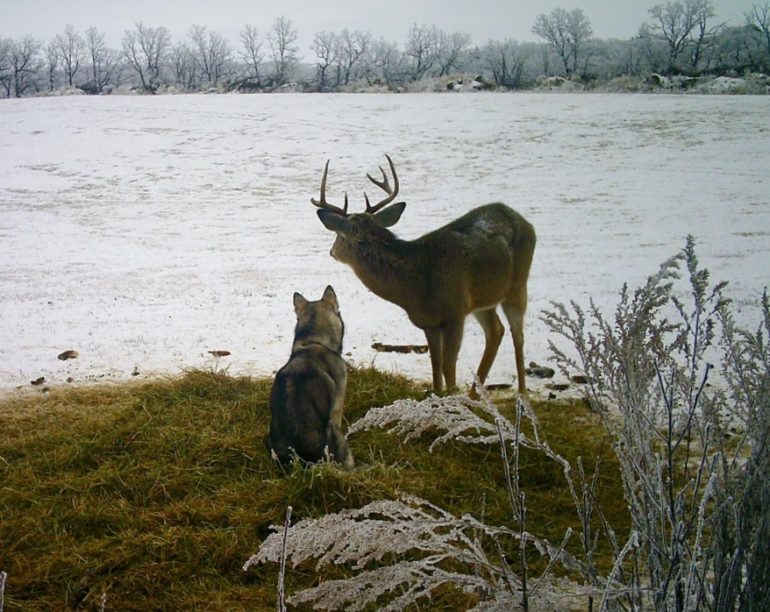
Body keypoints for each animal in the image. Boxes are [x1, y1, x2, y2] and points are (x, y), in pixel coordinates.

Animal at [311, 155, 536, 395]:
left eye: (338, 235)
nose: (332, 251)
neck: (417, 285)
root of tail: (522, 219)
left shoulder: (455, 313)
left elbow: (448, 364)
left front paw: (452, 396)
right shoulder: (429, 322)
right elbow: (435, 362)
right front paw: (438, 394)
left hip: (518, 284)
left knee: (517, 335)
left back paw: (521, 393)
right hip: (485, 300)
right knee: (496, 331)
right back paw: (474, 395)